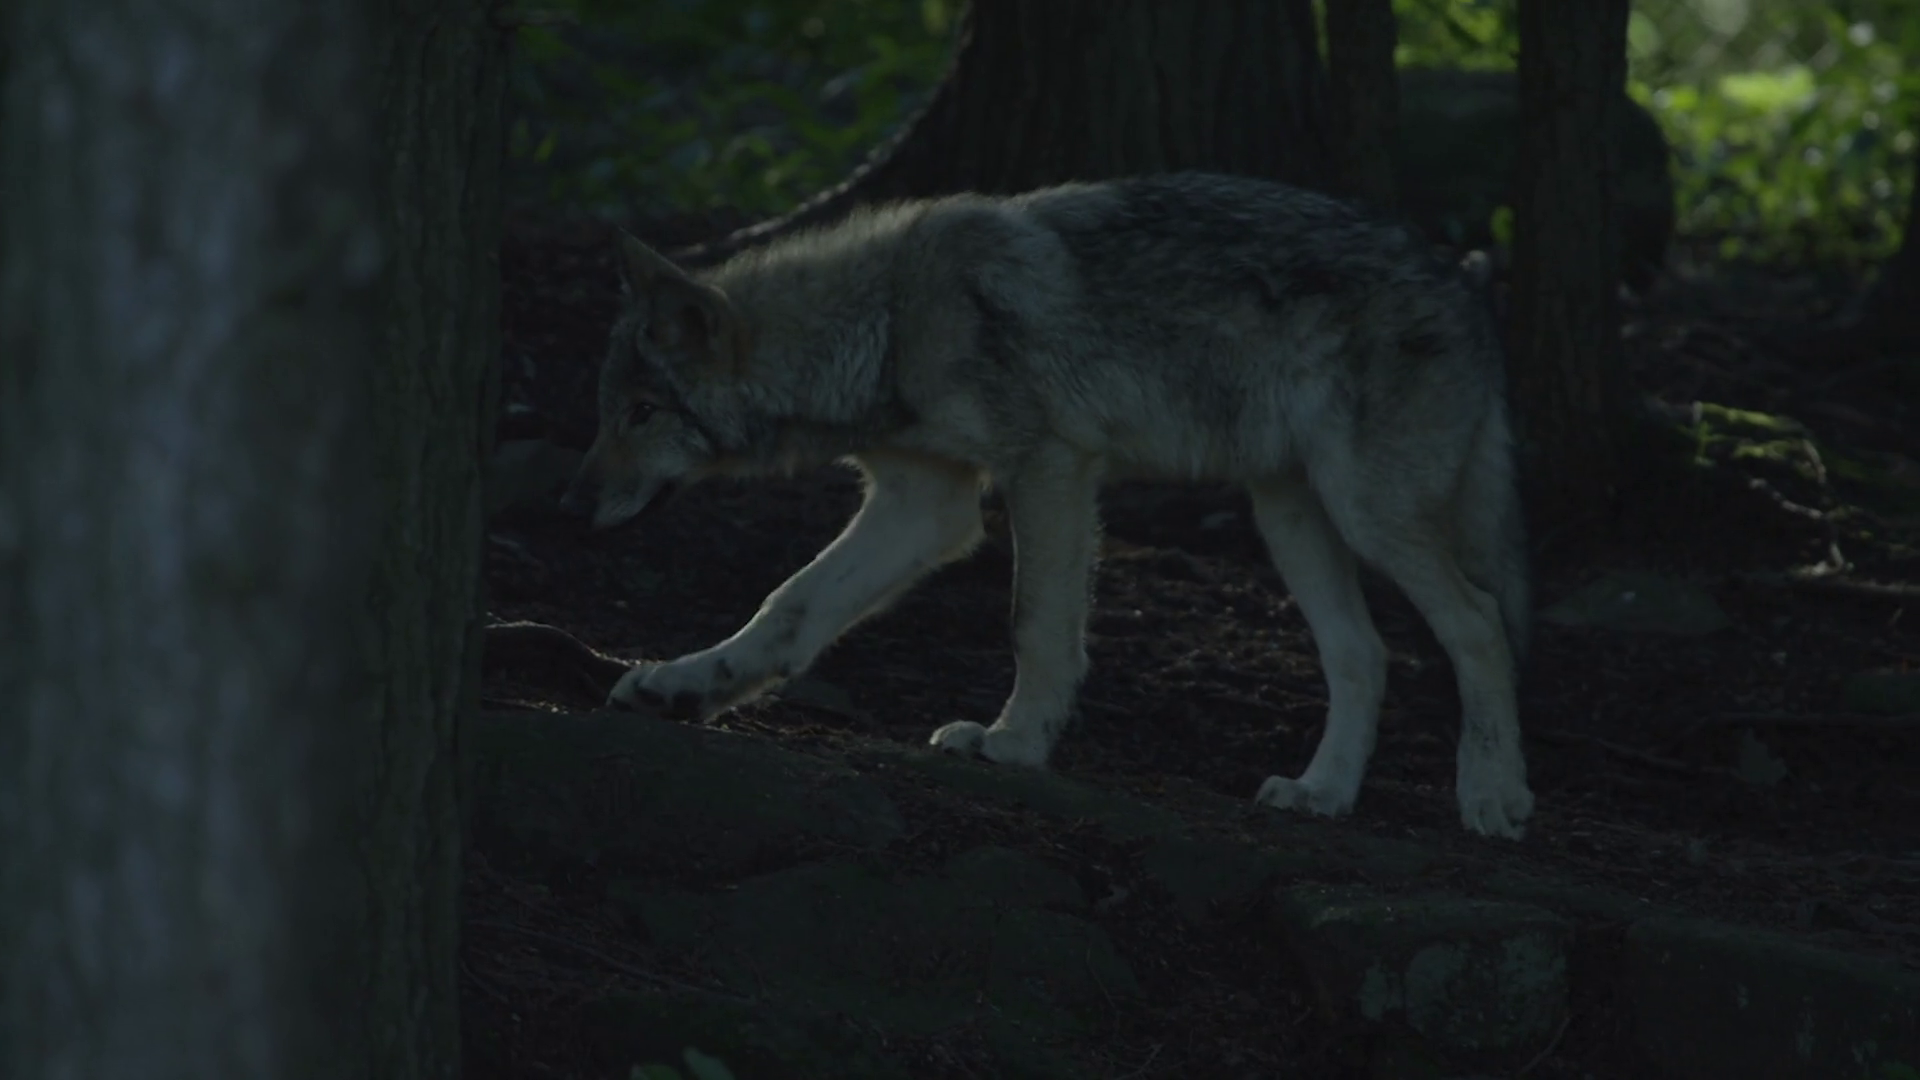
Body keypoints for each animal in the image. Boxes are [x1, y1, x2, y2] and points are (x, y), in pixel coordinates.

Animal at [560, 172, 1535, 839]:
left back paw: (1492, 796)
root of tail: (1464, 281)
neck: (888, 318)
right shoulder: (923, 504)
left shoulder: (1049, 468)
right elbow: (786, 606)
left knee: (1480, 621)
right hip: (1289, 515)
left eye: (642, 413)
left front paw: (1015, 743)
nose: (573, 502)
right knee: (1363, 653)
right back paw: (1321, 794)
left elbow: (1035, 625)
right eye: (607, 410)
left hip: (1365, 511)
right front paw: (685, 686)